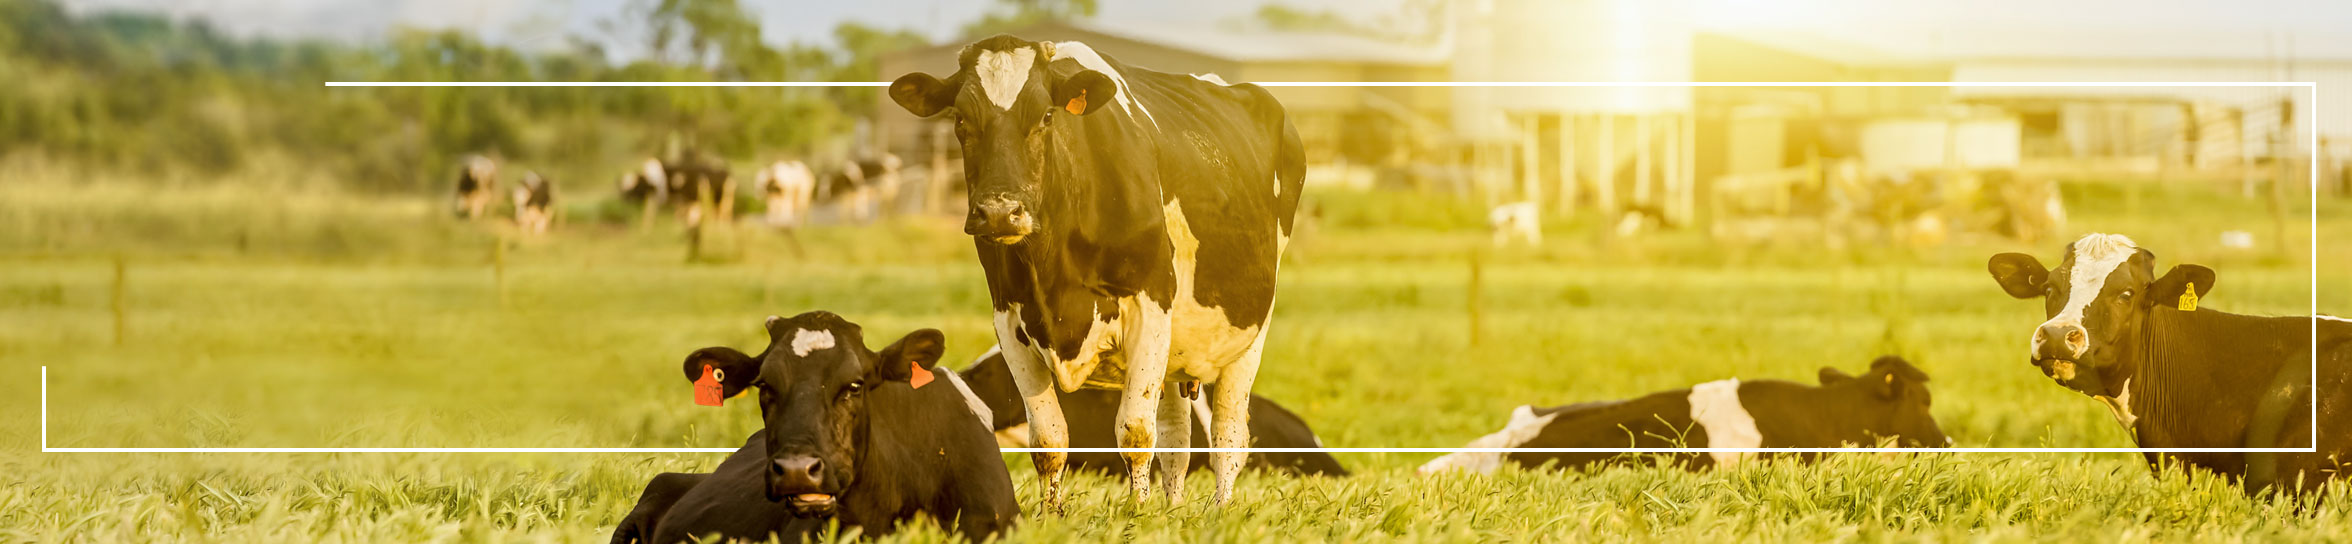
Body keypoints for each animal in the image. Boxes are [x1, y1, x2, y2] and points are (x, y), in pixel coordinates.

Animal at [890, 35, 1307, 507]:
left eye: (1046, 115)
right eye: (960, 117)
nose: (999, 212)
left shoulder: (1150, 306)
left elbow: (1136, 432)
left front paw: (1139, 513)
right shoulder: (1009, 317)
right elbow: (1049, 438)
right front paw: (1051, 514)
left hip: (1251, 331)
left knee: (1228, 433)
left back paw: (1220, 510)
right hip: (1176, 350)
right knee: (1177, 437)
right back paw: (1175, 509)